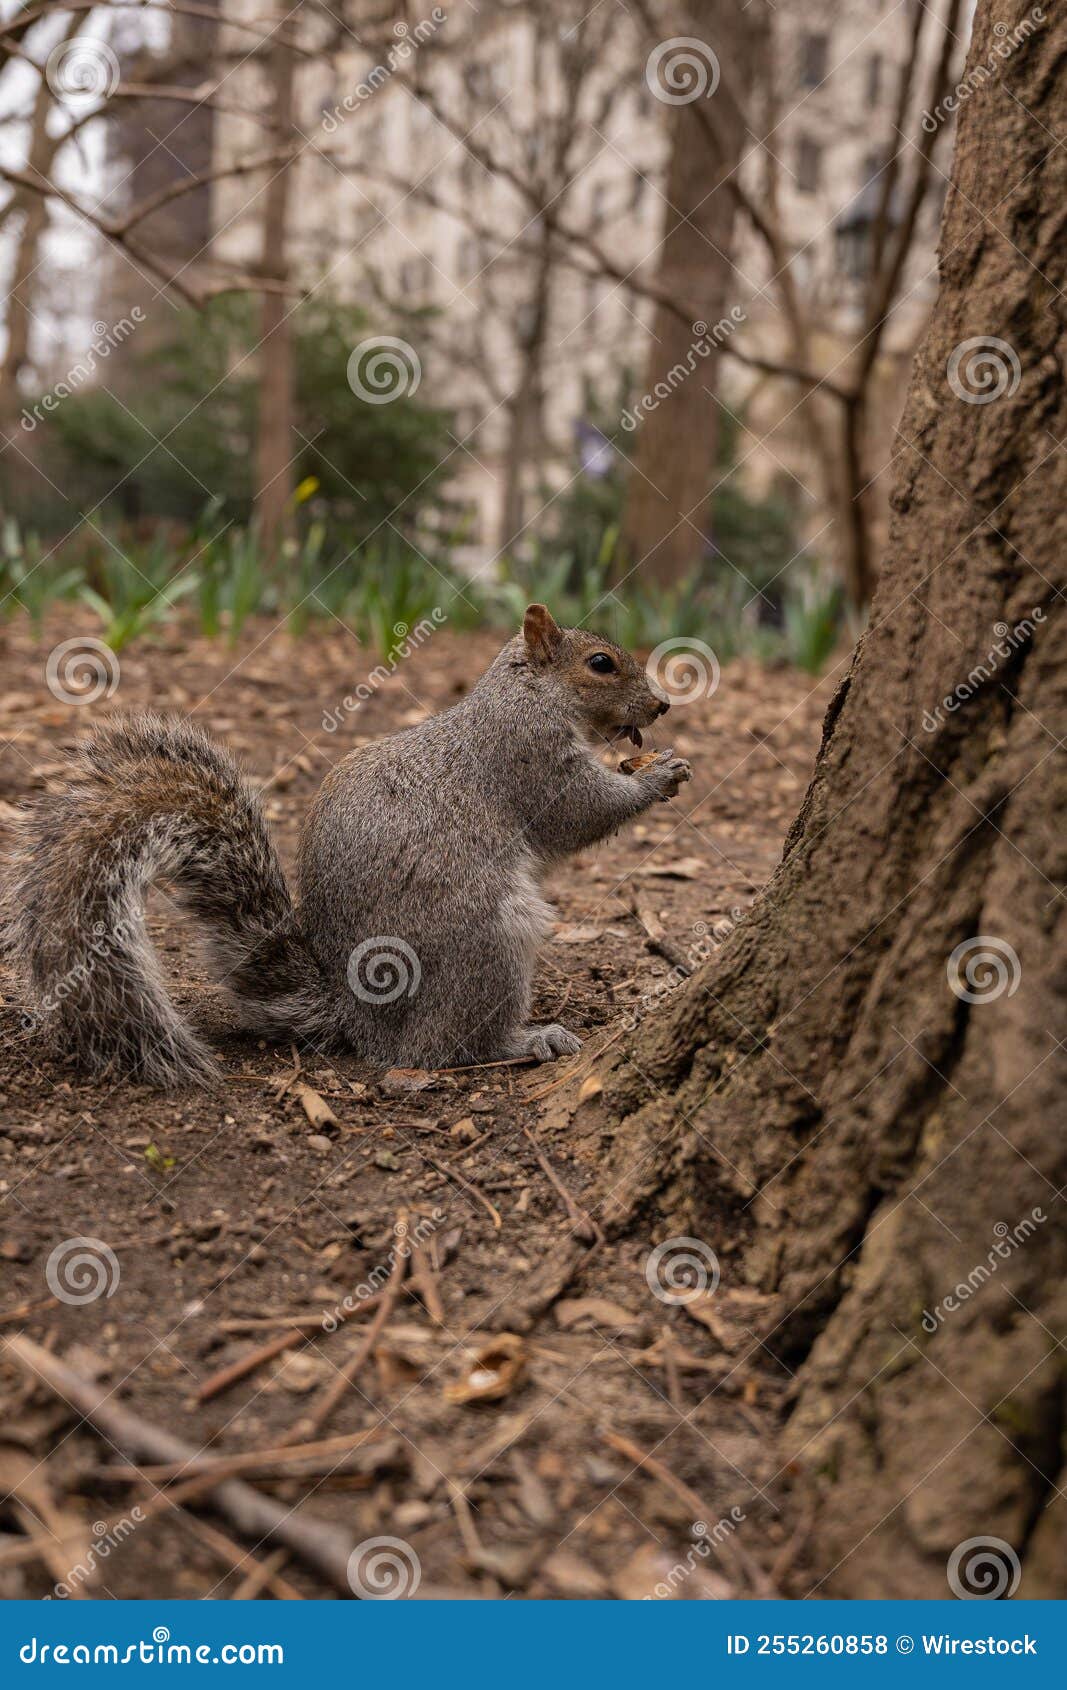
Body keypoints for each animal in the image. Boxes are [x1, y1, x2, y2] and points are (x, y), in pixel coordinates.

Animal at [3, 605, 691, 1088]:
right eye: (600, 663)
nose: (659, 705)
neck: (524, 693)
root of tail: (355, 1013)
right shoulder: (530, 756)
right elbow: (578, 812)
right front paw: (658, 777)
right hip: (486, 941)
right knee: (439, 1050)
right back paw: (526, 1041)